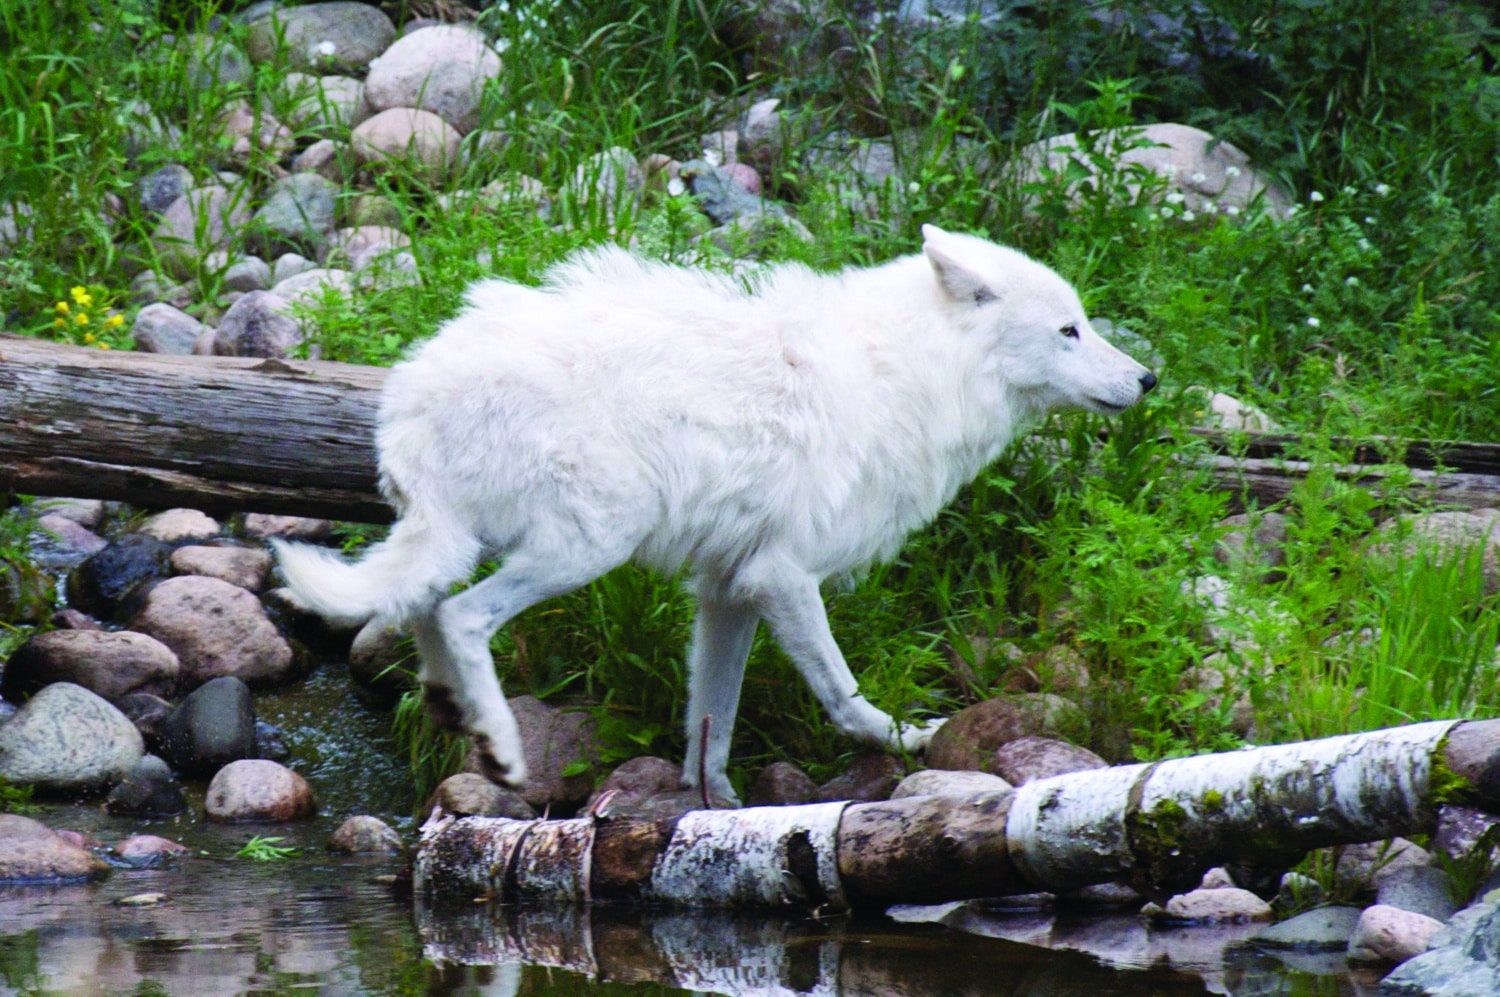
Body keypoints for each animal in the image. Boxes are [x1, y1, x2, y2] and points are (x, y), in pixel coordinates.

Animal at [274, 225, 1156, 804]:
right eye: (1070, 330)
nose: (1148, 378)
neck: (913, 373)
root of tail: (412, 403)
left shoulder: (728, 587)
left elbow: (712, 720)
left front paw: (717, 806)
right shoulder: (783, 575)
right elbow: (842, 693)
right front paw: (907, 739)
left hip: (478, 542)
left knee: (422, 607)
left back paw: (459, 717)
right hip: (589, 544)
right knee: (460, 614)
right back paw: (502, 753)